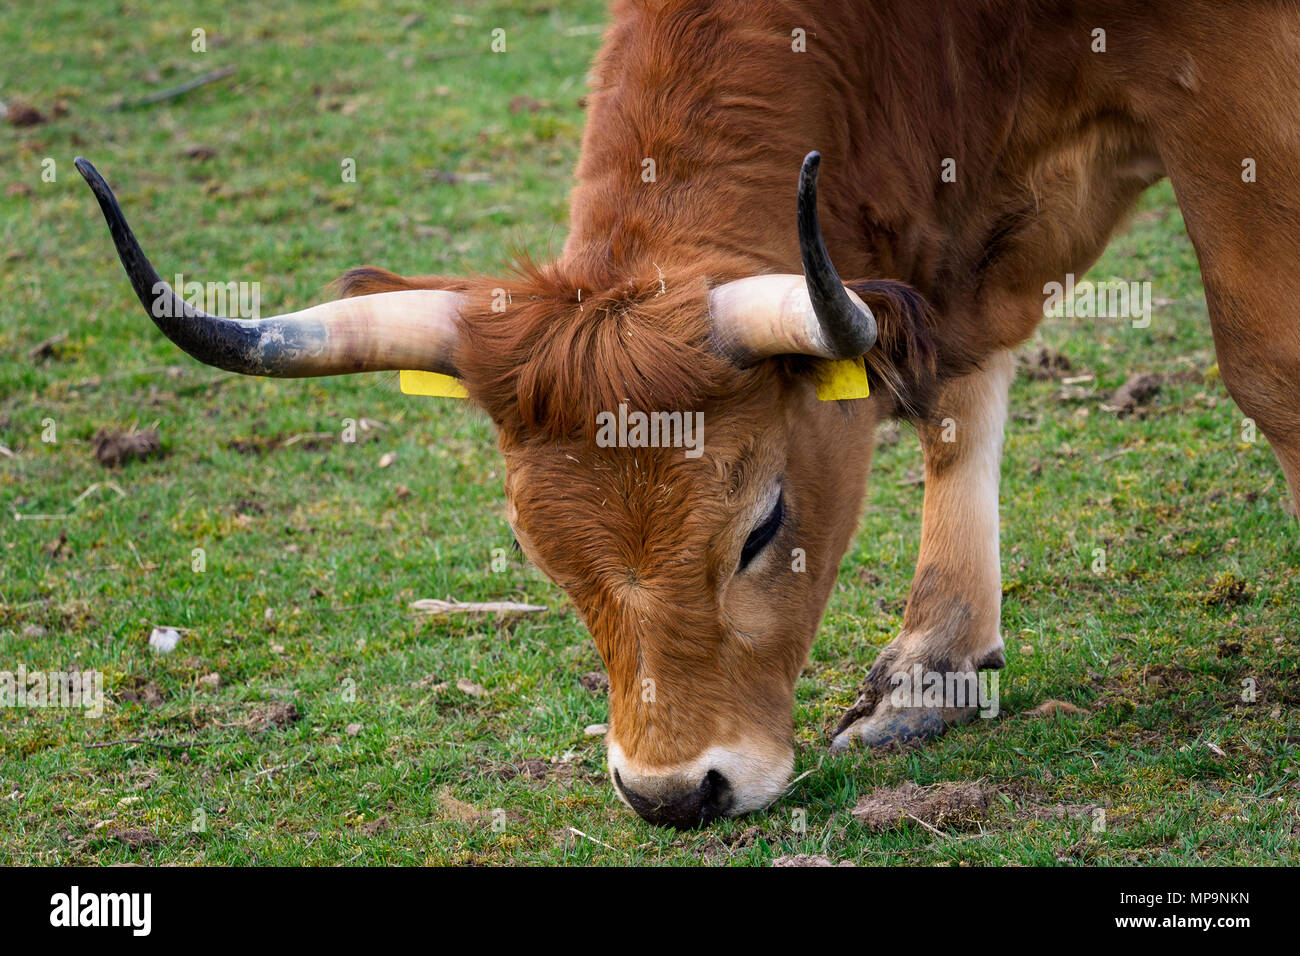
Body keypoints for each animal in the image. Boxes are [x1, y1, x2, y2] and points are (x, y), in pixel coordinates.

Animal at [77, 0, 1300, 829]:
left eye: (762, 528)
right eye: (538, 553)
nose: (673, 791)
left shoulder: (1228, 84)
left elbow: (1265, 360)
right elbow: (955, 398)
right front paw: (935, 665)